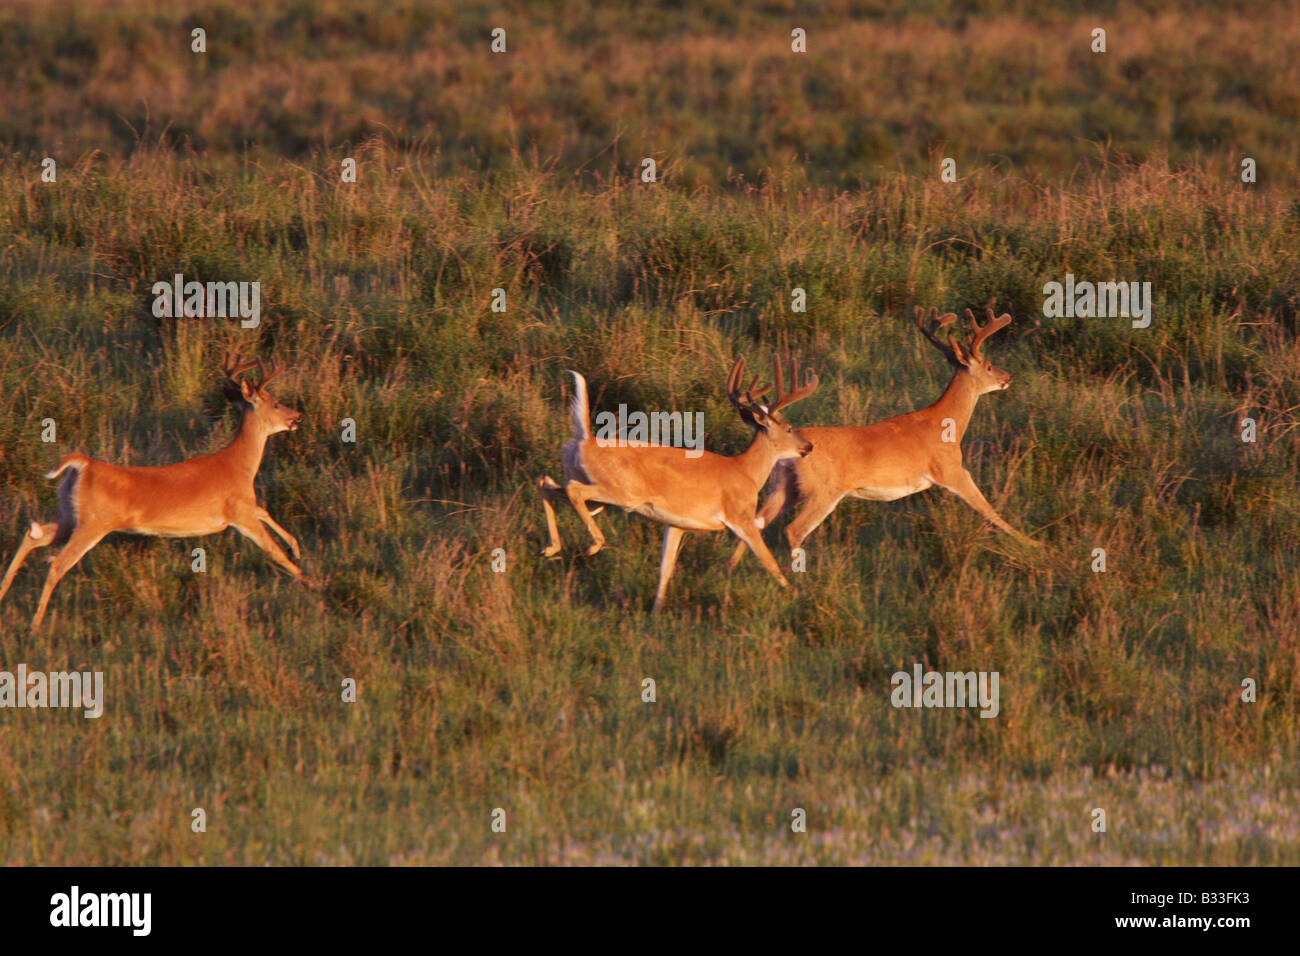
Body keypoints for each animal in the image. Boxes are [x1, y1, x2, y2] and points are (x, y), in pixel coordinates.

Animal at [0, 352, 314, 631]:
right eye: (275, 403)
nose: (297, 416)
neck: (239, 466)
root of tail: (84, 464)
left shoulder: (245, 505)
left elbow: (266, 512)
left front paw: (297, 548)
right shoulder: (238, 512)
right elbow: (273, 550)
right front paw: (309, 580)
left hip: (69, 516)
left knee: (33, 536)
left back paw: (4, 594)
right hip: (92, 524)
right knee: (56, 564)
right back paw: (35, 626)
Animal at [538, 354, 819, 613]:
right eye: (789, 428)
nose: (808, 447)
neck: (745, 472)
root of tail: (584, 440)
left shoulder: (675, 524)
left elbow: (665, 570)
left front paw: (655, 615)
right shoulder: (741, 517)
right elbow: (769, 561)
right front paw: (795, 595)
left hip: (596, 493)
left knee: (547, 484)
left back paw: (550, 548)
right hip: (622, 492)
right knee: (572, 490)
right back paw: (592, 545)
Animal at [728, 307, 1038, 573]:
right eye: (988, 365)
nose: (1008, 377)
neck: (946, 424)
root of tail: (792, 455)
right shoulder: (950, 469)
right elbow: (987, 507)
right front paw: (1032, 542)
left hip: (783, 487)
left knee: (755, 522)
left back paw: (731, 571)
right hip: (824, 490)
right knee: (793, 529)